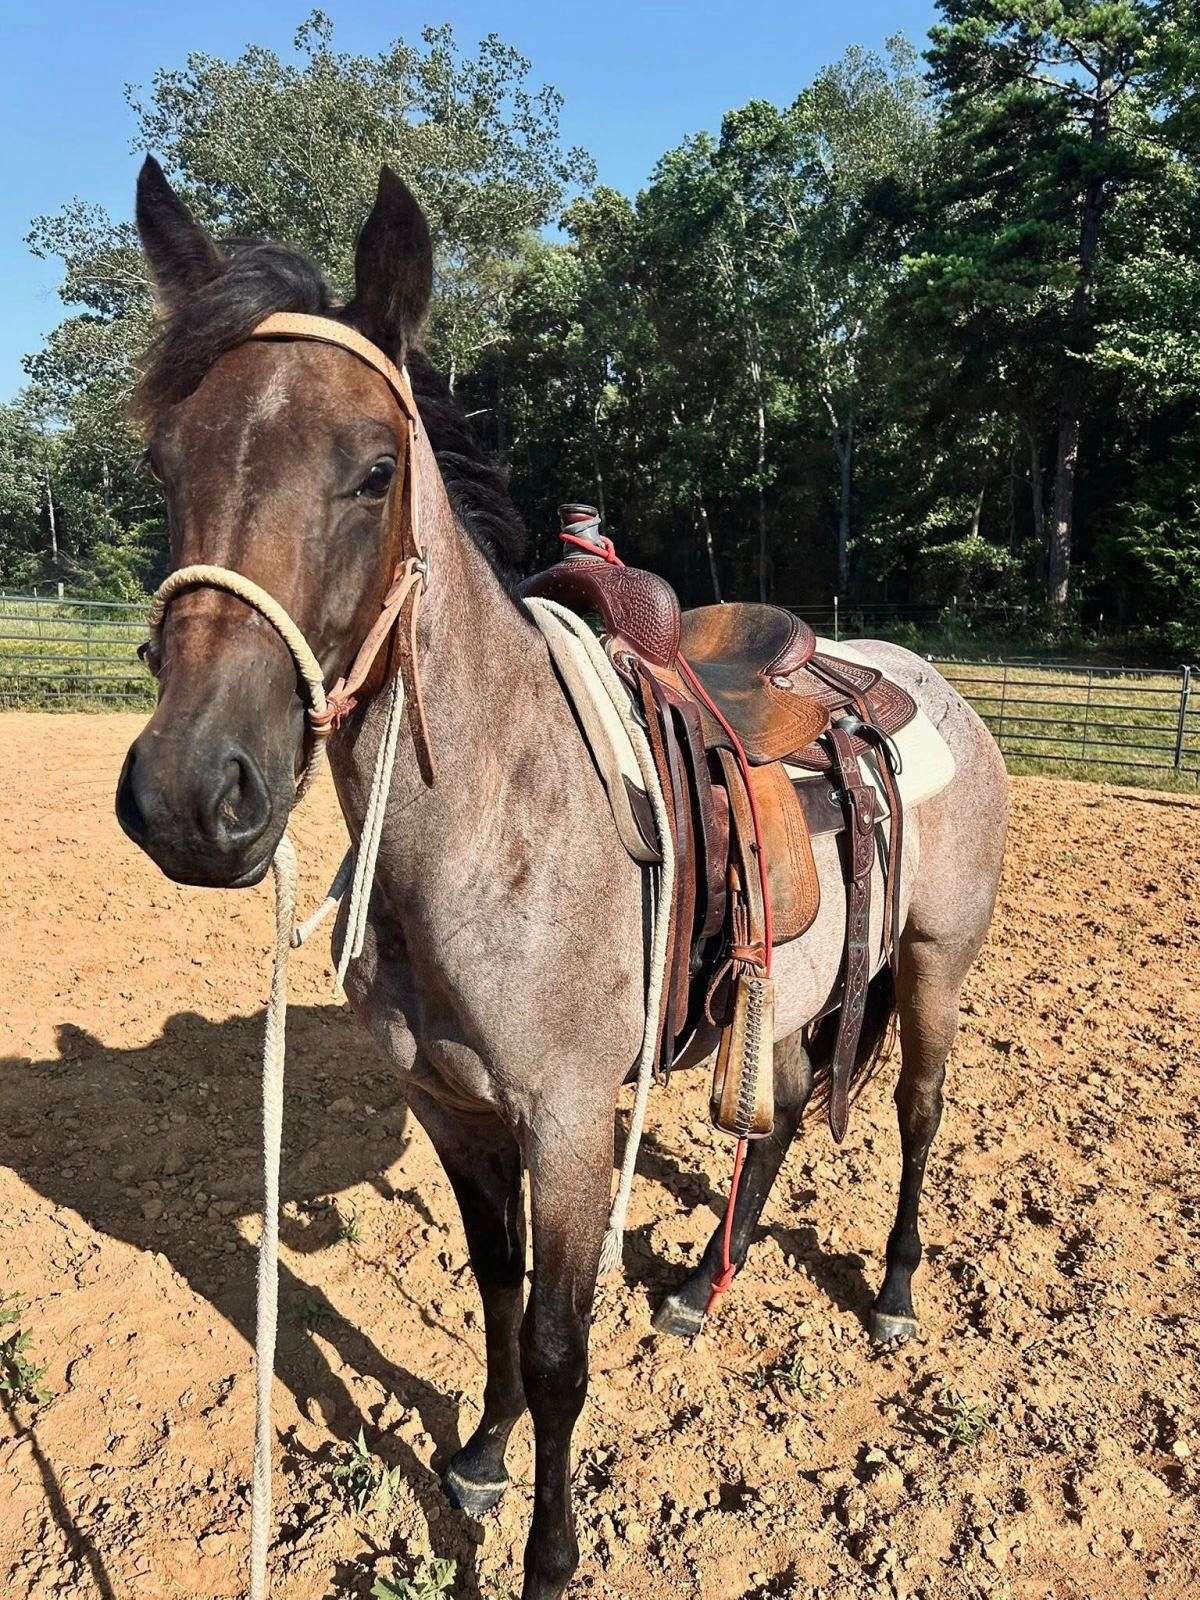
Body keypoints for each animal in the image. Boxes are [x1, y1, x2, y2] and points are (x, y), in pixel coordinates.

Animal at [116, 156, 1008, 1600]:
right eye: (164, 462)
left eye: (375, 472)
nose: (193, 798)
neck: (496, 827)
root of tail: (919, 681)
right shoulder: (453, 1109)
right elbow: (495, 1290)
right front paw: (477, 1455)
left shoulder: (575, 1123)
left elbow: (556, 1345)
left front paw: (546, 1552)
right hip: (789, 995)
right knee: (779, 1114)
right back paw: (702, 1288)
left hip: (931, 964)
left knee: (920, 1116)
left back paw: (893, 1293)